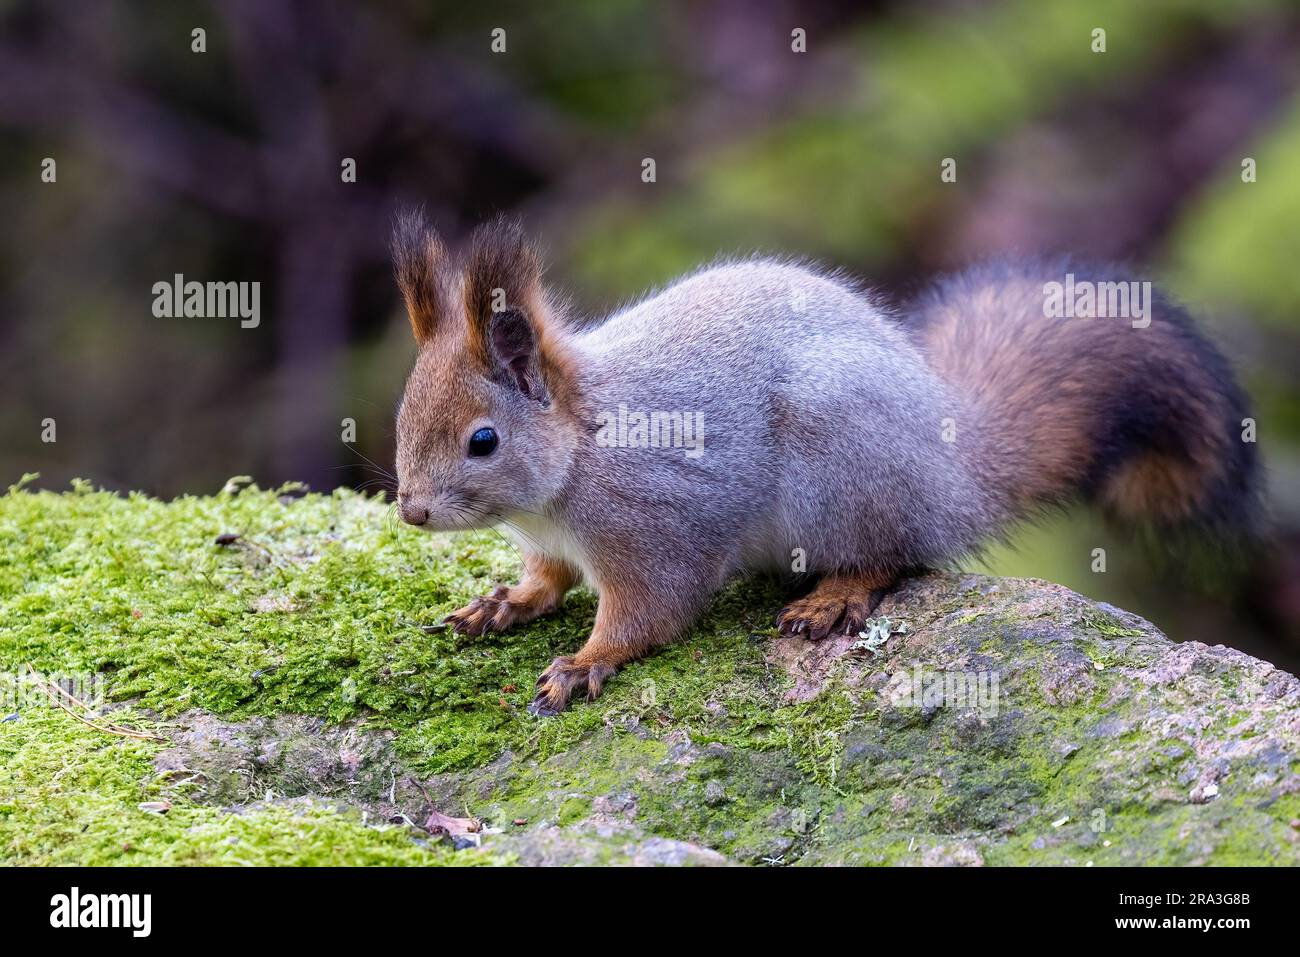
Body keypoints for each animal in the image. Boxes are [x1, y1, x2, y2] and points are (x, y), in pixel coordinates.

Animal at [390, 211, 1261, 716]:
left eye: (482, 441)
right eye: (403, 413)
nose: (411, 510)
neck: (571, 463)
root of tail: (956, 475)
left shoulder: (655, 527)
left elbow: (652, 611)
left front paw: (584, 662)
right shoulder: (550, 543)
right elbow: (547, 579)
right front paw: (504, 602)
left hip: (839, 466)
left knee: (894, 554)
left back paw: (835, 596)